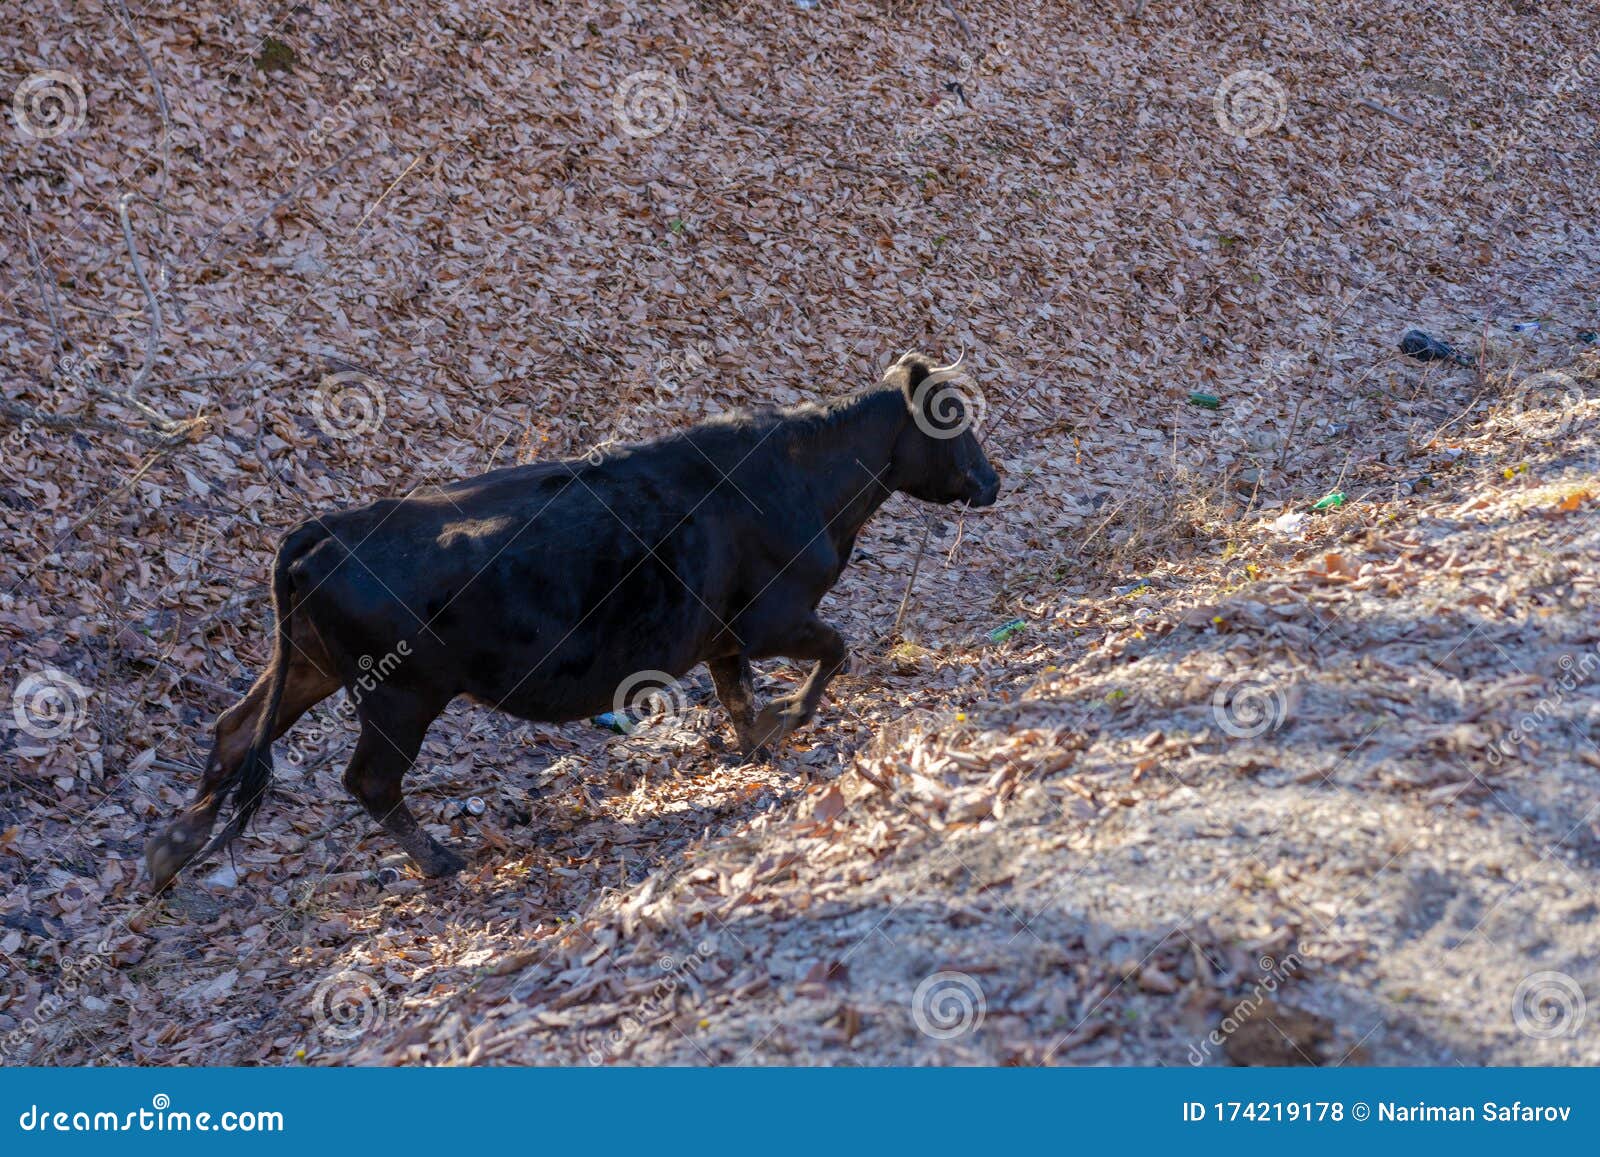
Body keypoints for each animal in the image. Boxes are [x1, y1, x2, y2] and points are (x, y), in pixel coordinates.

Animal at [145, 352, 1001, 892]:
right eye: (952, 415)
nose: (993, 480)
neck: (813, 479)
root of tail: (329, 525)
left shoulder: (724, 633)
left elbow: (738, 695)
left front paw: (759, 740)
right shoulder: (774, 615)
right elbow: (836, 652)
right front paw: (789, 721)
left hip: (313, 666)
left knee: (233, 731)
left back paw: (168, 853)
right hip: (400, 692)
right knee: (369, 779)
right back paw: (439, 861)